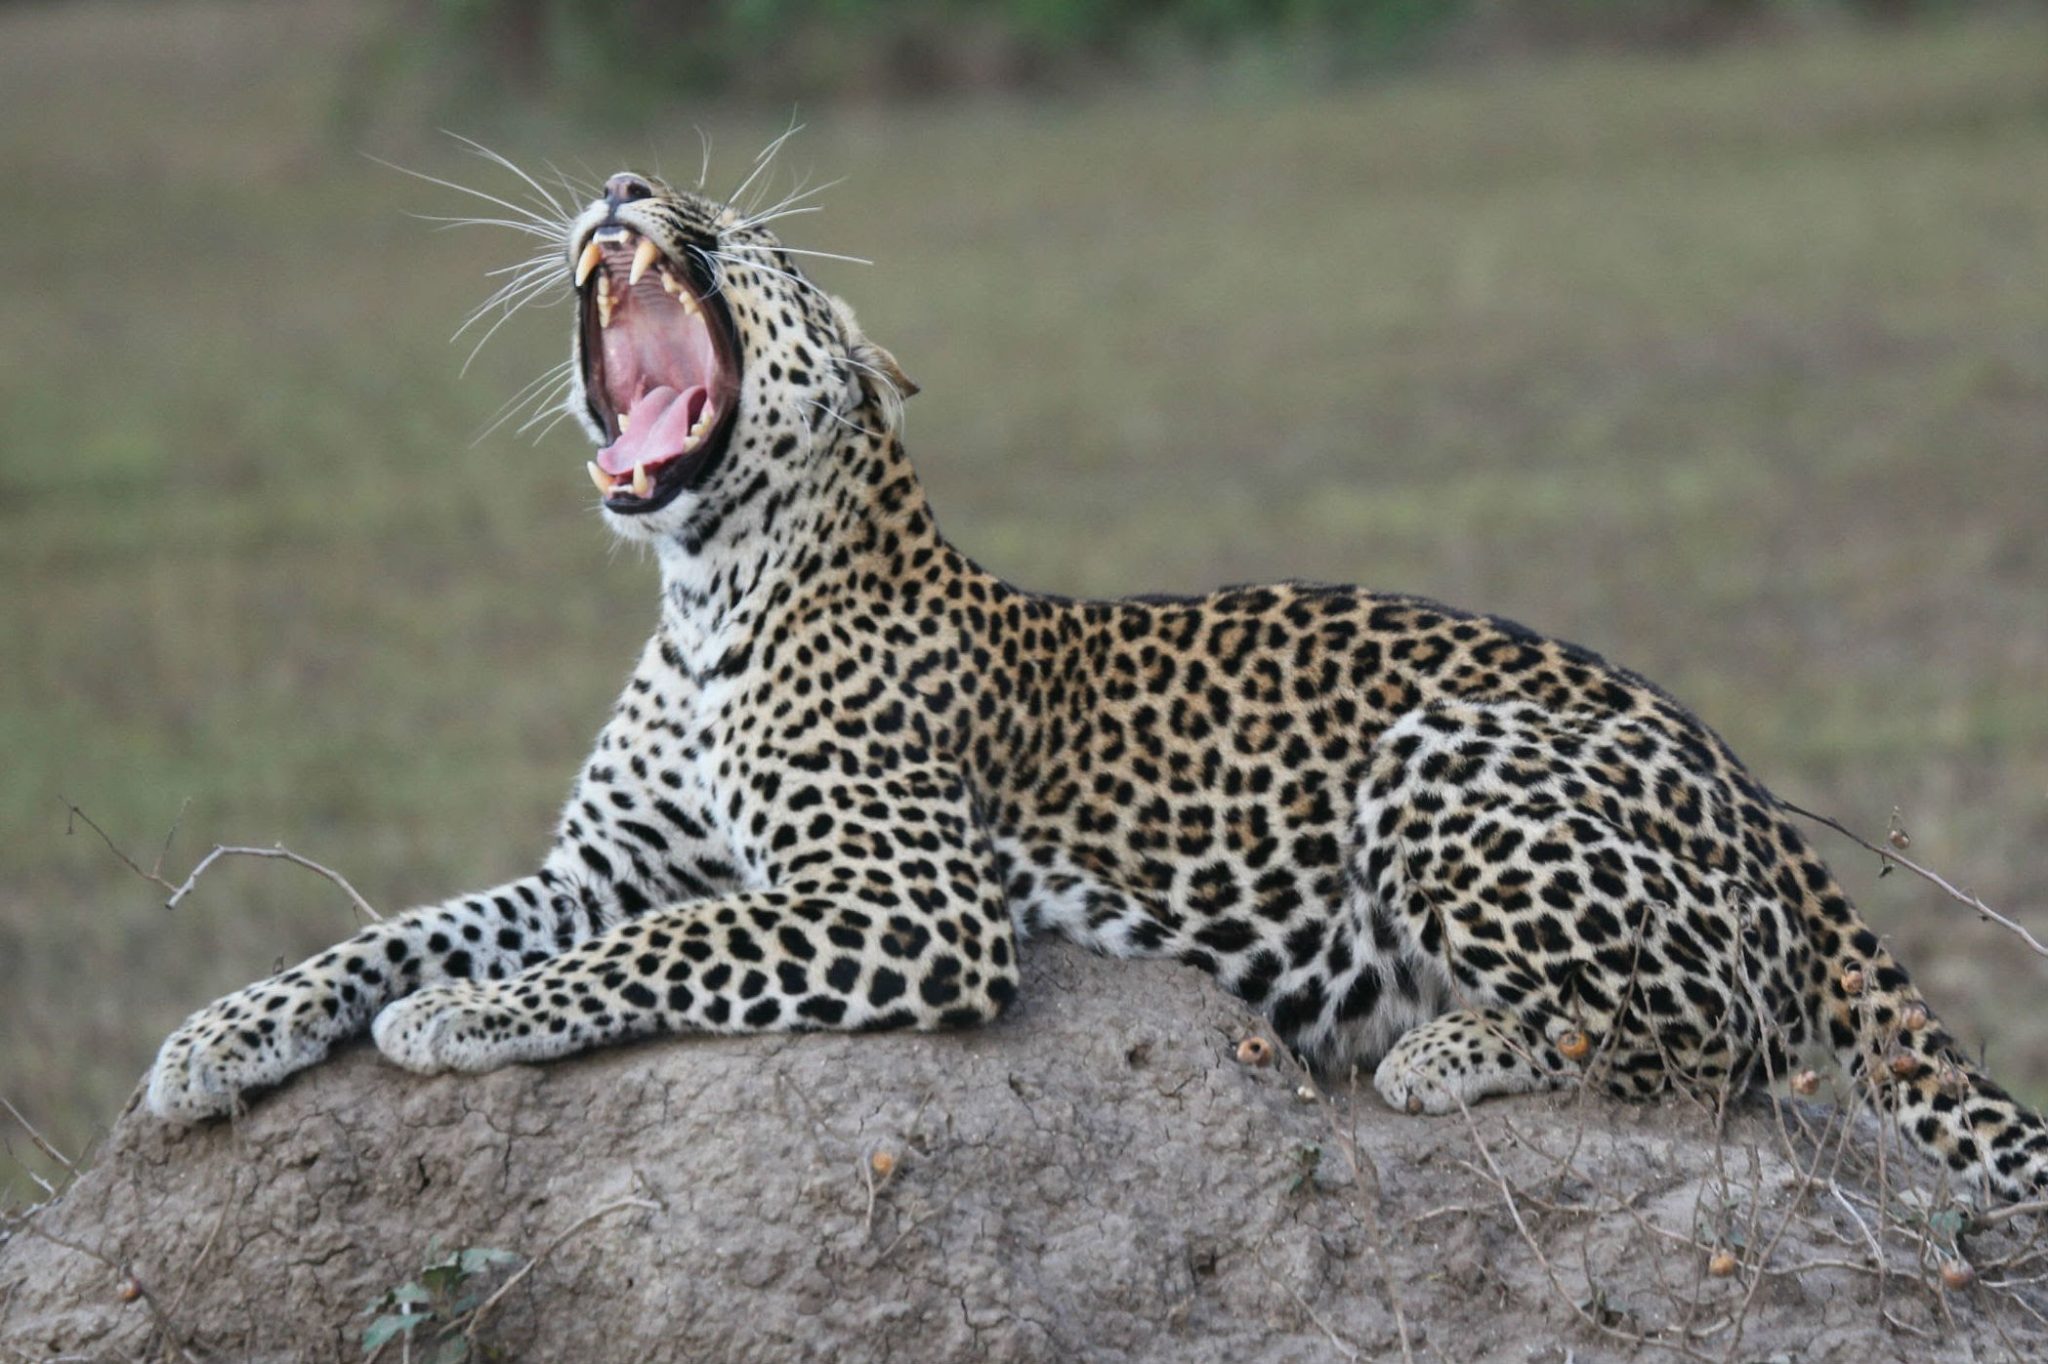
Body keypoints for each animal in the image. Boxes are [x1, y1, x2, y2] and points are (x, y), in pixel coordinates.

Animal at [146, 165, 2048, 1203]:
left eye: (749, 232)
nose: (625, 189)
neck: (703, 592)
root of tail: (1735, 767)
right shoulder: (597, 863)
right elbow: (404, 923)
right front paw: (217, 1036)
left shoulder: (907, 896)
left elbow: (657, 948)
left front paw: (462, 1022)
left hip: (1444, 759)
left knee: (1724, 1043)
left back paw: (1450, 1048)